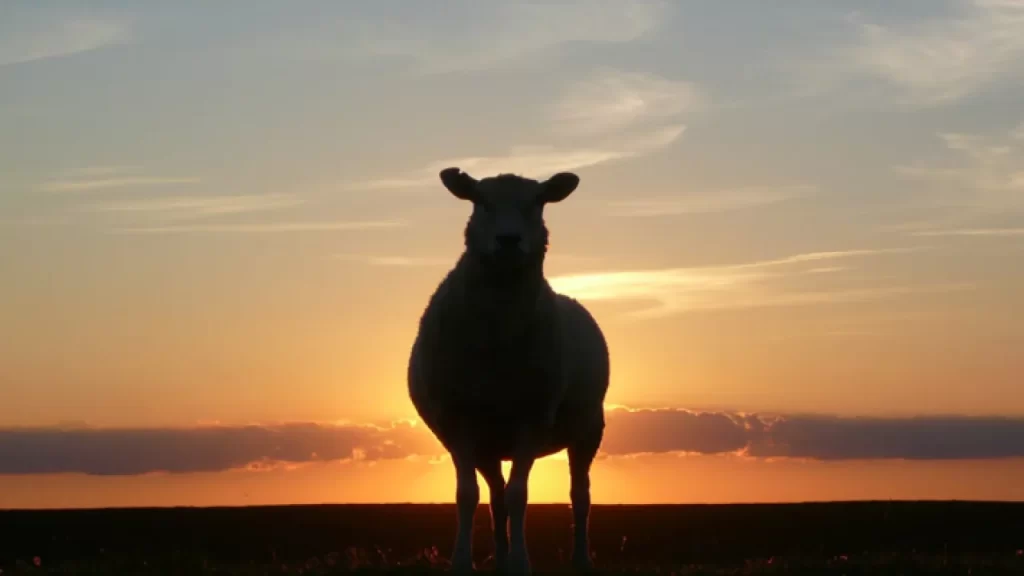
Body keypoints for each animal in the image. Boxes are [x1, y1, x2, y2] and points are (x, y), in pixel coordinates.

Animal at [407, 167, 610, 574]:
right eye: (480, 202)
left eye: (538, 203)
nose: (508, 240)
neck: (497, 338)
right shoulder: (459, 421)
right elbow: (467, 495)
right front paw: (463, 562)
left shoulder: (531, 418)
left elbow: (520, 495)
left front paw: (519, 562)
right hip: (489, 443)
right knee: (495, 497)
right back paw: (499, 558)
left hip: (588, 429)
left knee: (579, 495)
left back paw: (581, 559)